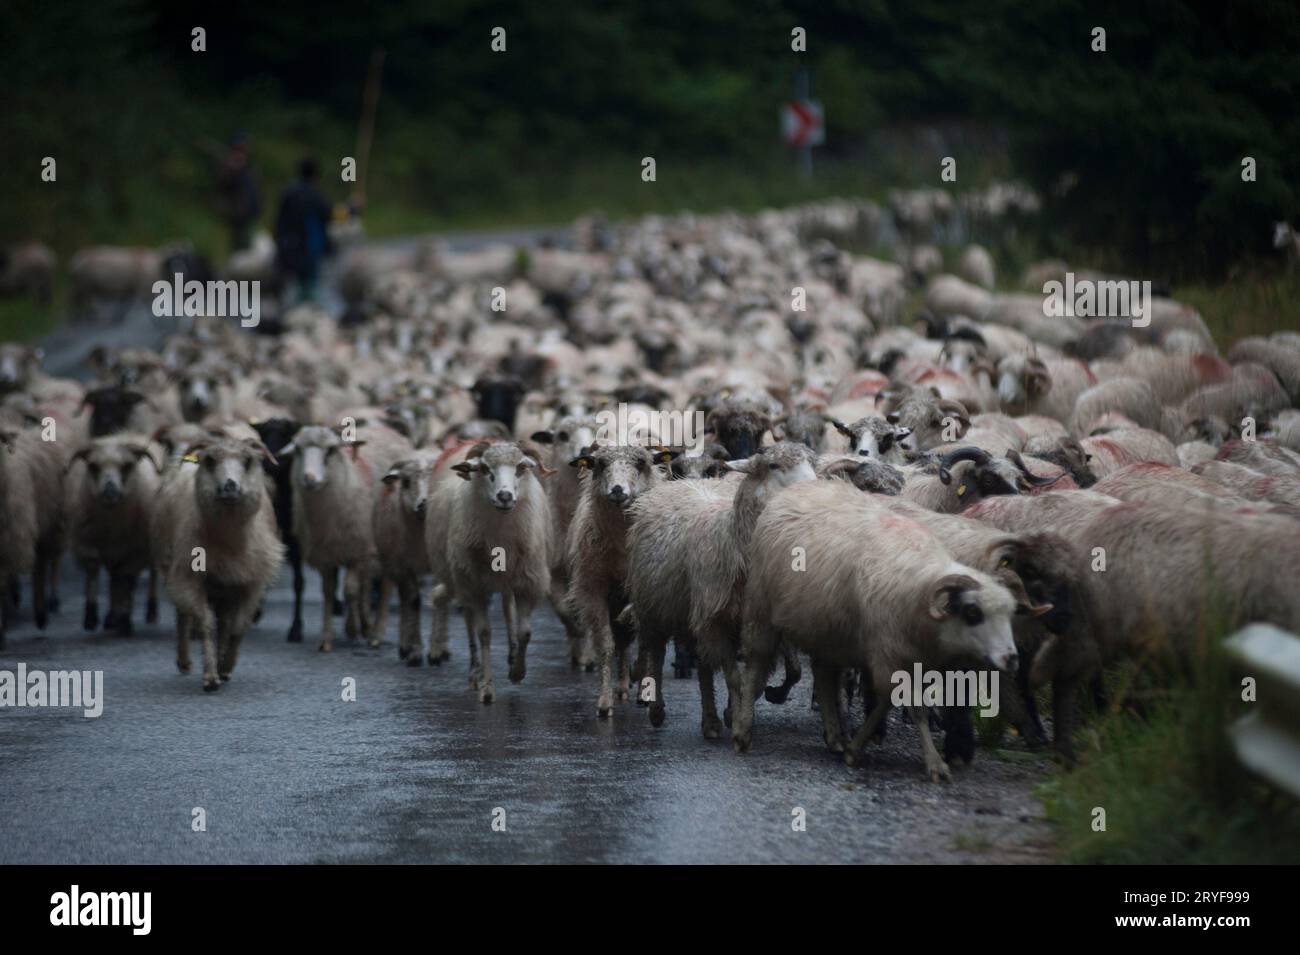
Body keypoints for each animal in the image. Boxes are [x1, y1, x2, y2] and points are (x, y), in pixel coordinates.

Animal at [66, 436, 162, 635]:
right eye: (93, 466)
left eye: (127, 466)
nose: (110, 490)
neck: (112, 526)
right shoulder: (85, 544)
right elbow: (94, 572)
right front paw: (91, 617)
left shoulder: (137, 552)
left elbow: (126, 580)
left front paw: (124, 620)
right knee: (114, 578)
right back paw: (111, 618)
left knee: (141, 577)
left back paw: (149, 612)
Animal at [151, 436, 283, 689]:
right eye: (210, 460)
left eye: (248, 460)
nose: (230, 486)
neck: (229, 542)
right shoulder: (191, 579)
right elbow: (206, 624)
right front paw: (211, 676)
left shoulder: (250, 583)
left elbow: (238, 627)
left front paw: (226, 667)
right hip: (174, 567)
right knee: (183, 615)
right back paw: (184, 661)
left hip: (225, 587)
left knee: (225, 624)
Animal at [566, 443, 677, 716]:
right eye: (600, 464)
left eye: (640, 463)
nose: (617, 490)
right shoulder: (594, 589)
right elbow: (606, 645)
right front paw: (604, 702)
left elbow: (642, 638)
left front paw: (642, 682)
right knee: (624, 641)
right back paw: (625, 684)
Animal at [626, 442, 818, 736]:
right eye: (773, 466)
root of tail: (684, 483)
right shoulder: (717, 621)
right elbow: (734, 677)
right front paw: (736, 715)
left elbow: (755, 682)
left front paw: (734, 713)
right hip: (655, 608)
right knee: (656, 654)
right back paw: (658, 710)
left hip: (696, 612)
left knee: (704, 666)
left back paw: (711, 720)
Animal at [734, 480, 1022, 781]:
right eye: (973, 612)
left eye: (1011, 613)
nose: (1012, 659)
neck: (921, 587)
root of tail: (796, 487)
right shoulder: (889, 652)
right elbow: (912, 708)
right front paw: (935, 764)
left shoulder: (902, 656)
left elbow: (887, 701)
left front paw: (855, 748)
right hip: (761, 609)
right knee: (756, 664)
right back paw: (743, 731)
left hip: (828, 628)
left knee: (823, 676)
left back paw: (835, 738)